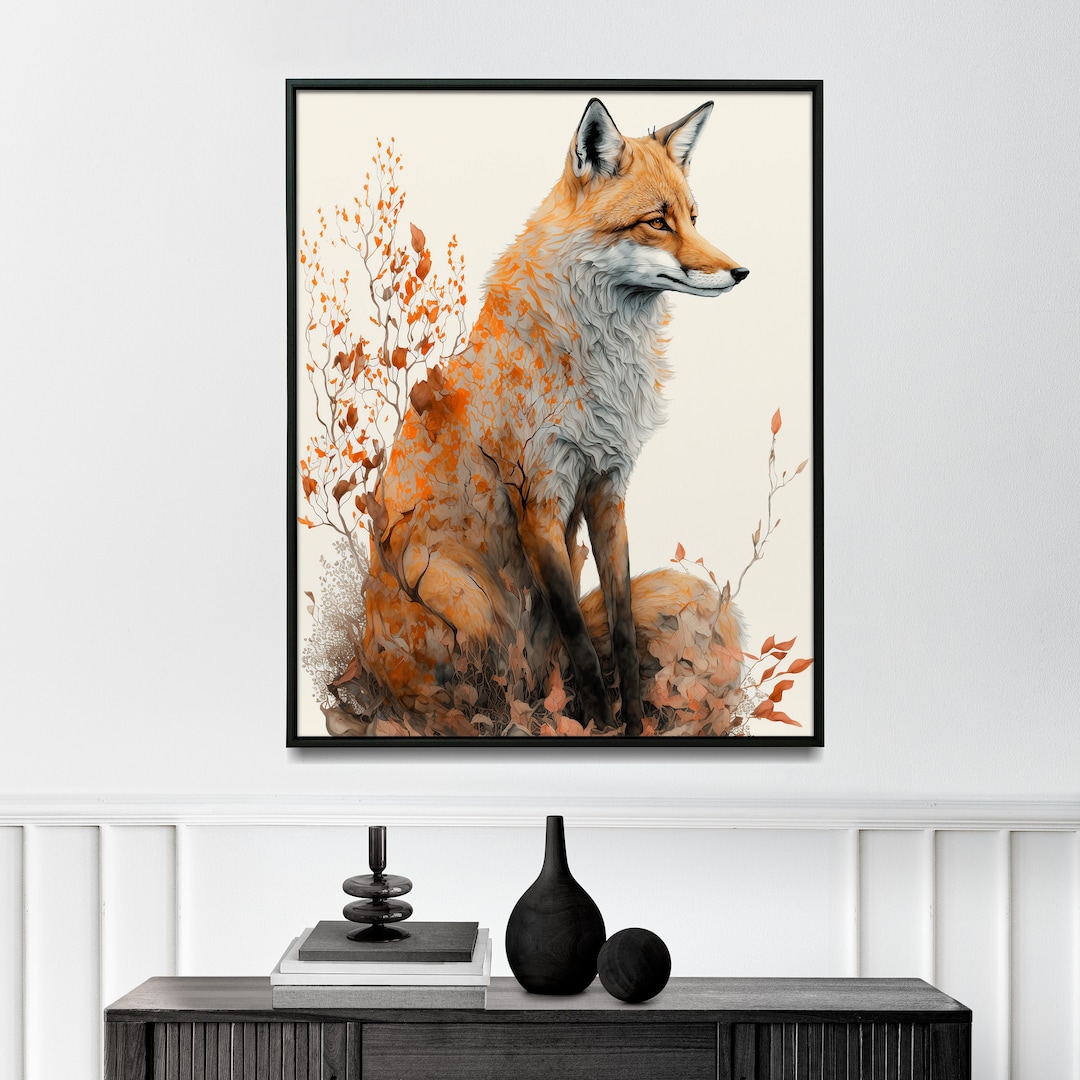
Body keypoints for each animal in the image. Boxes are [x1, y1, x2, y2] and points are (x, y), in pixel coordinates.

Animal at [362, 98, 749, 736]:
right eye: (657, 222)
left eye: (693, 218)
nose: (741, 273)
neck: (597, 365)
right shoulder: (539, 500)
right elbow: (580, 638)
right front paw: (597, 722)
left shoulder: (606, 490)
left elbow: (618, 632)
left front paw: (629, 725)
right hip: (457, 592)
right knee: (472, 688)